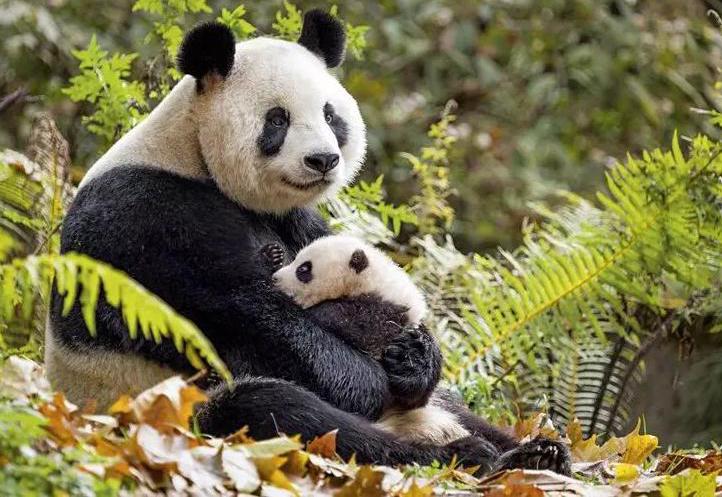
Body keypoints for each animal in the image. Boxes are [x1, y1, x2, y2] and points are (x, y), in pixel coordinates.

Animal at [46, 10, 570, 475]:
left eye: (330, 114)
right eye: (276, 120)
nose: (323, 159)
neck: (190, 154)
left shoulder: (294, 218)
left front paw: (415, 359)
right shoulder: (151, 225)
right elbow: (247, 323)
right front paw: (370, 379)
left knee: (456, 407)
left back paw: (536, 453)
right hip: (163, 406)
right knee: (278, 411)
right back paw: (461, 455)